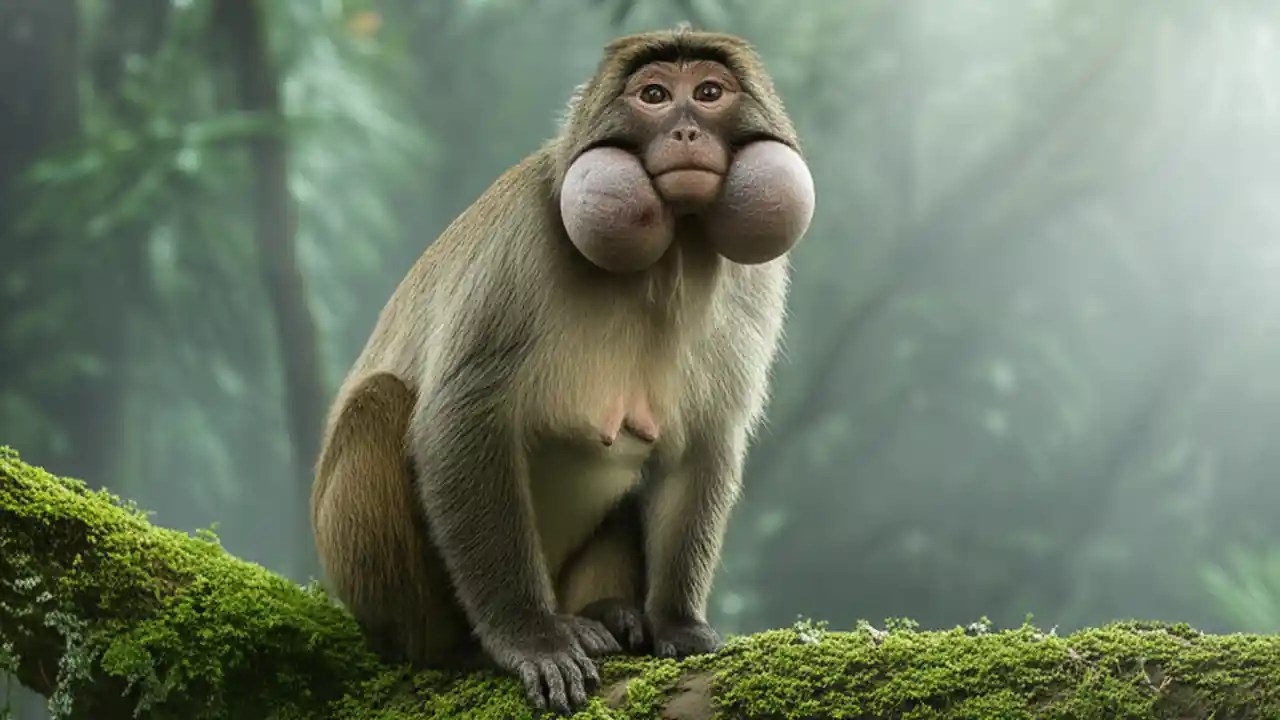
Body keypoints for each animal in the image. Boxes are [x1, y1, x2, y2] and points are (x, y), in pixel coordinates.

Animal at [310, 27, 815, 715]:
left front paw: (677, 620)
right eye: (655, 96)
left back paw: (609, 612)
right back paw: (454, 648)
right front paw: (529, 636)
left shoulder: (752, 286)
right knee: (380, 404)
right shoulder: (523, 241)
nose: (686, 130)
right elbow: (460, 422)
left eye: (710, 93)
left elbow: (702, 445)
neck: (667, 254)